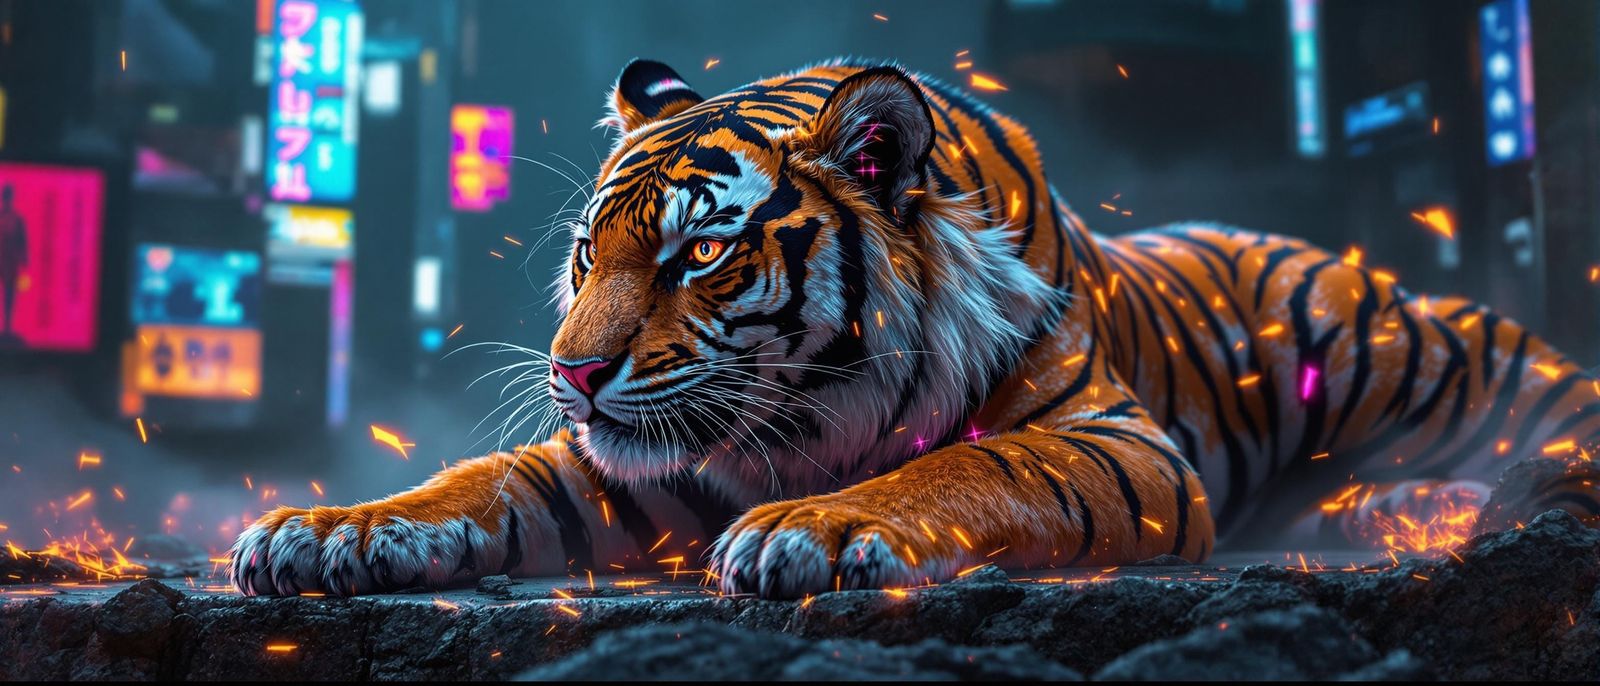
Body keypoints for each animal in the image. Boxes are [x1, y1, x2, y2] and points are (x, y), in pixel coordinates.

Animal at [230, 58, 1600, 599]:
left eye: (700, 252)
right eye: (589, 254)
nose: (572, 373)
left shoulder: (1110, 440)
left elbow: (963, 467)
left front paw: (817, 531)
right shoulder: (630, 467)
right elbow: (475, 482)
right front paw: (326, 529)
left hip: (1411, 350)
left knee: (1553, 405)